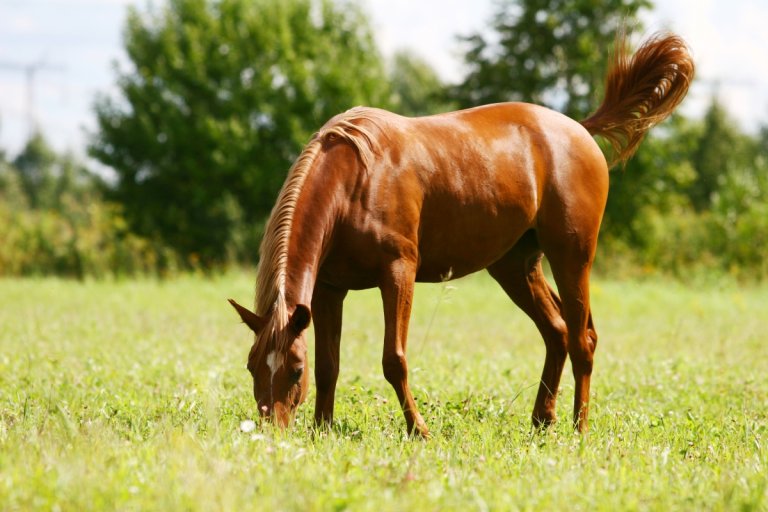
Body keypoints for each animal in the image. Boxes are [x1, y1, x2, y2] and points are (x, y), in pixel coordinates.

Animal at [229, 32, 694, 438]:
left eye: (293, 370)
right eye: (252, 366)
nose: (270, 430)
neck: (356, 179)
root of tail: (581, 129)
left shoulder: (398, 272)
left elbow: (393, 359)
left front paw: (419, 430)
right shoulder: (328, 289)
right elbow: (330, 364)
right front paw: (323, 429)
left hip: (572, 255)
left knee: (582, 340)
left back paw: (579, 429)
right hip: (515, 266)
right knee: (557, 331)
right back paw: (542, 420)